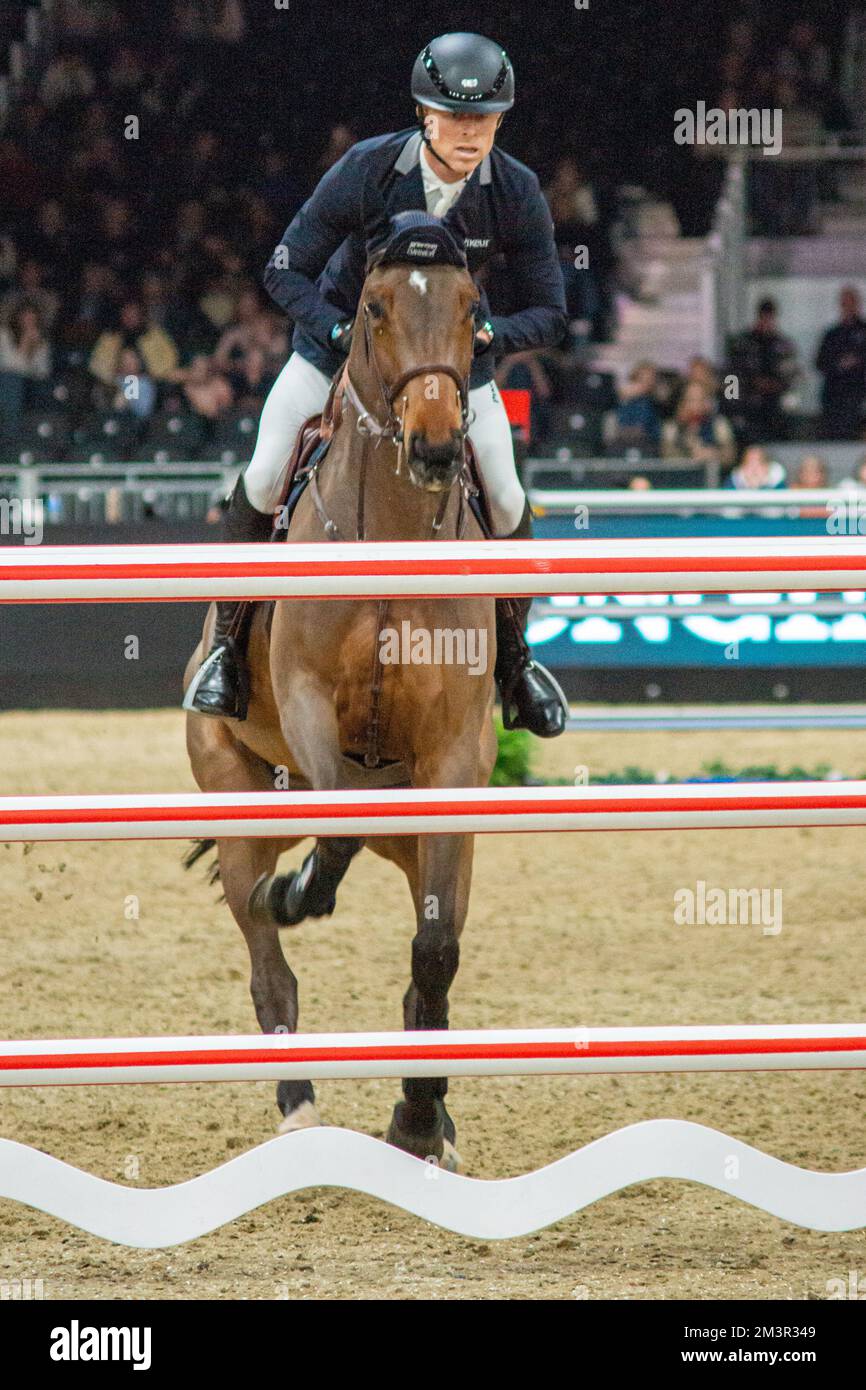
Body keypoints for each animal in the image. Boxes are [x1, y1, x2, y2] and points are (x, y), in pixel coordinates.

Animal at [184, 221, 498, 1165]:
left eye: (473, 308)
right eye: (371, 307)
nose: (433, 446)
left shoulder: (453, 763)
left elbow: (435, 952)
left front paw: (420, 1117)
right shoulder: (310, 709)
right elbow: (334, 831)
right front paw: (297, 896)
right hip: (237, 798)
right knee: (268, 966)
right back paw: (297, 1104)